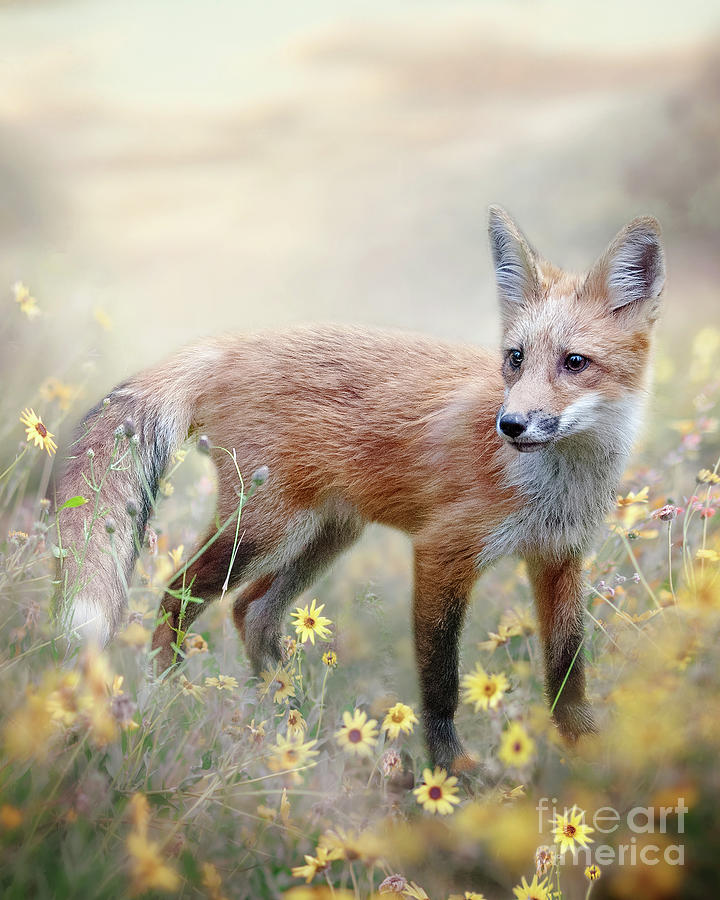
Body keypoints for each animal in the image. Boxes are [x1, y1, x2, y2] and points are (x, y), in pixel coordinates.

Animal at [54, 206, 665, 772]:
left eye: (575, 362)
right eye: (515, 358)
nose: (510, 425)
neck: (556, 485)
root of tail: (230, 344)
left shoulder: (559, 557)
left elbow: (568, 674)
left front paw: (591, 755)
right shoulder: (443, 551)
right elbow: (441, 681)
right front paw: (452, 771)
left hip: (326, 536)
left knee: (253, 613)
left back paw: (293, 725)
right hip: (265, 530)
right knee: (175, 595)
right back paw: (167, 699)